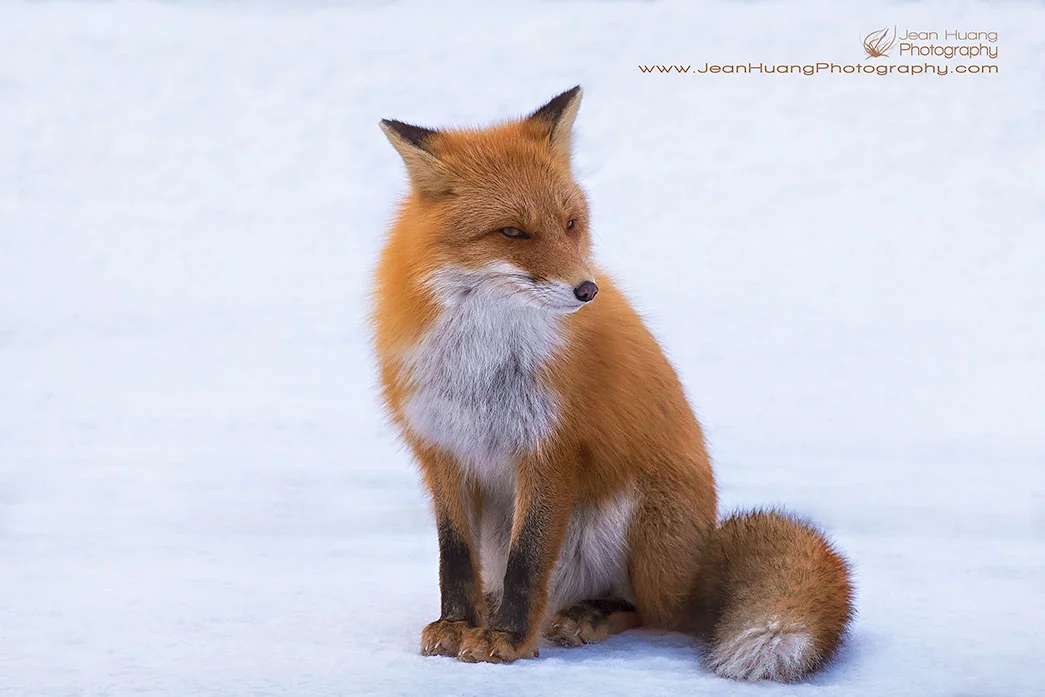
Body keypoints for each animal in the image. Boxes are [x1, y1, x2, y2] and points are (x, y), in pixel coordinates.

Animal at [371, 86, 853, 681]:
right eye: (513, 232)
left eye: (571, 223)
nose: (587, 290)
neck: (480, 359)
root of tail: (699, 563)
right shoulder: (442, 449)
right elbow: (455, 557)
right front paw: (459, 626)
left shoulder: (551, 448)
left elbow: (527, 561)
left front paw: (507, 638)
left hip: (637, 513)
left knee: (653, 610)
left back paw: (589, 614)